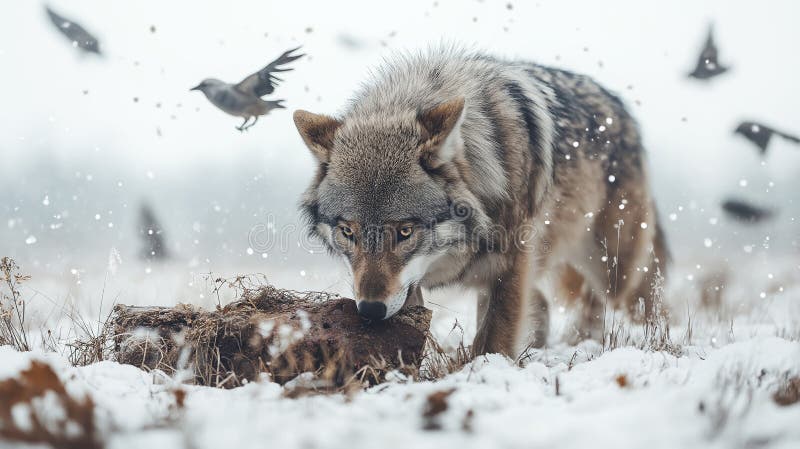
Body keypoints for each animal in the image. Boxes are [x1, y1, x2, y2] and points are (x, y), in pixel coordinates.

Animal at [293, 48, 668, 357]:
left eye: (405, 231)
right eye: (347, 231)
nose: (370, 311)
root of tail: (619, 106)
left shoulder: (512, 262)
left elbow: (494, 340)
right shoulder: (412, 284)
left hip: (612, 268)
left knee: (616, 302)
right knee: (544, 303)